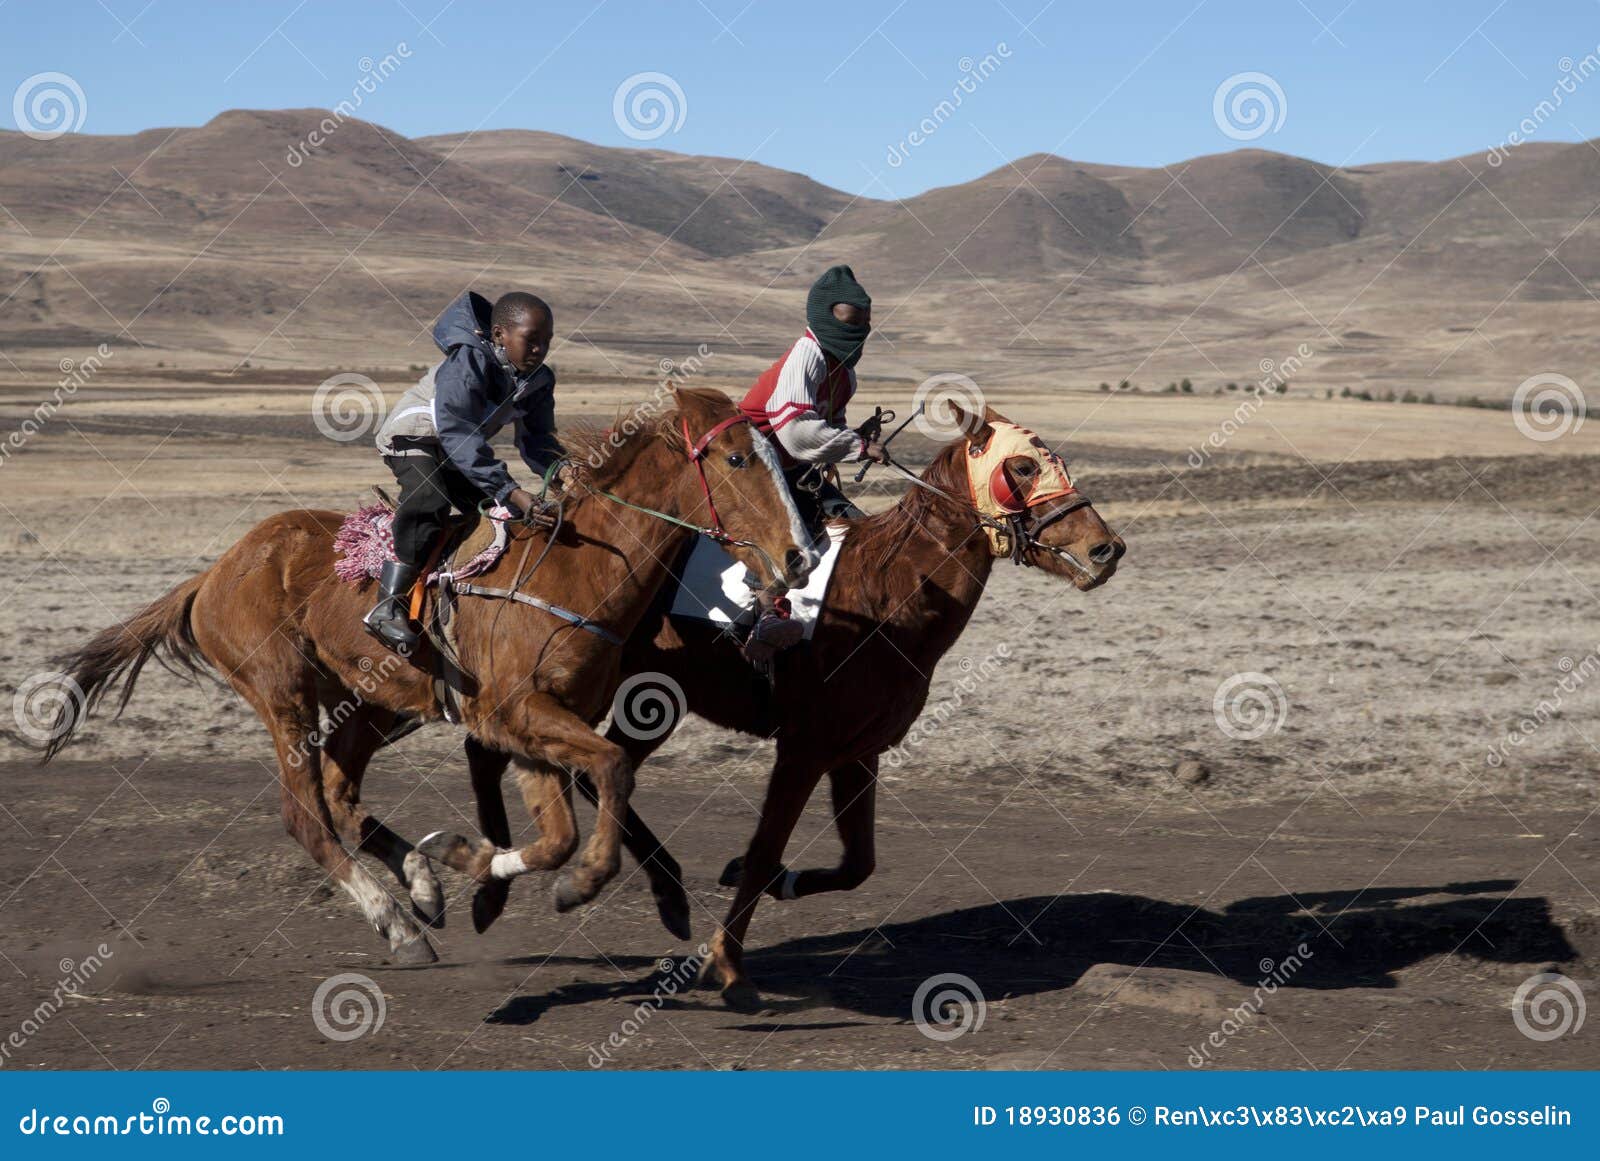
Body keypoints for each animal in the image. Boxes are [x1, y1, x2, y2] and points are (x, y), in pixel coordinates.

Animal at [41, 387, 813, 965]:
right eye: (739, 458)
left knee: (340, 793)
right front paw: (579, 883)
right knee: (306, 813)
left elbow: (560, 829)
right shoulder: (517, 715)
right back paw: (397, 922)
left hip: (370, 705)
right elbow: (611, 770)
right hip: (284, 695)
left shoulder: (535, 728)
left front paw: (472, 863)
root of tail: (214, 572)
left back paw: (422, 884)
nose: (799, 556)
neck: (579, 565)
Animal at [426, 404, 1125, 1008]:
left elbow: (857, 864)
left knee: (548, 761)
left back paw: (647, 893)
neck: (892, 595)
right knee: (537, 757)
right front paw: (731, 967)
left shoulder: (858, 753)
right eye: (1023, 467)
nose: (1105, 549)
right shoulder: (804, 749)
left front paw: (760, 882)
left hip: (647, 703)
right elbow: (766, 848)